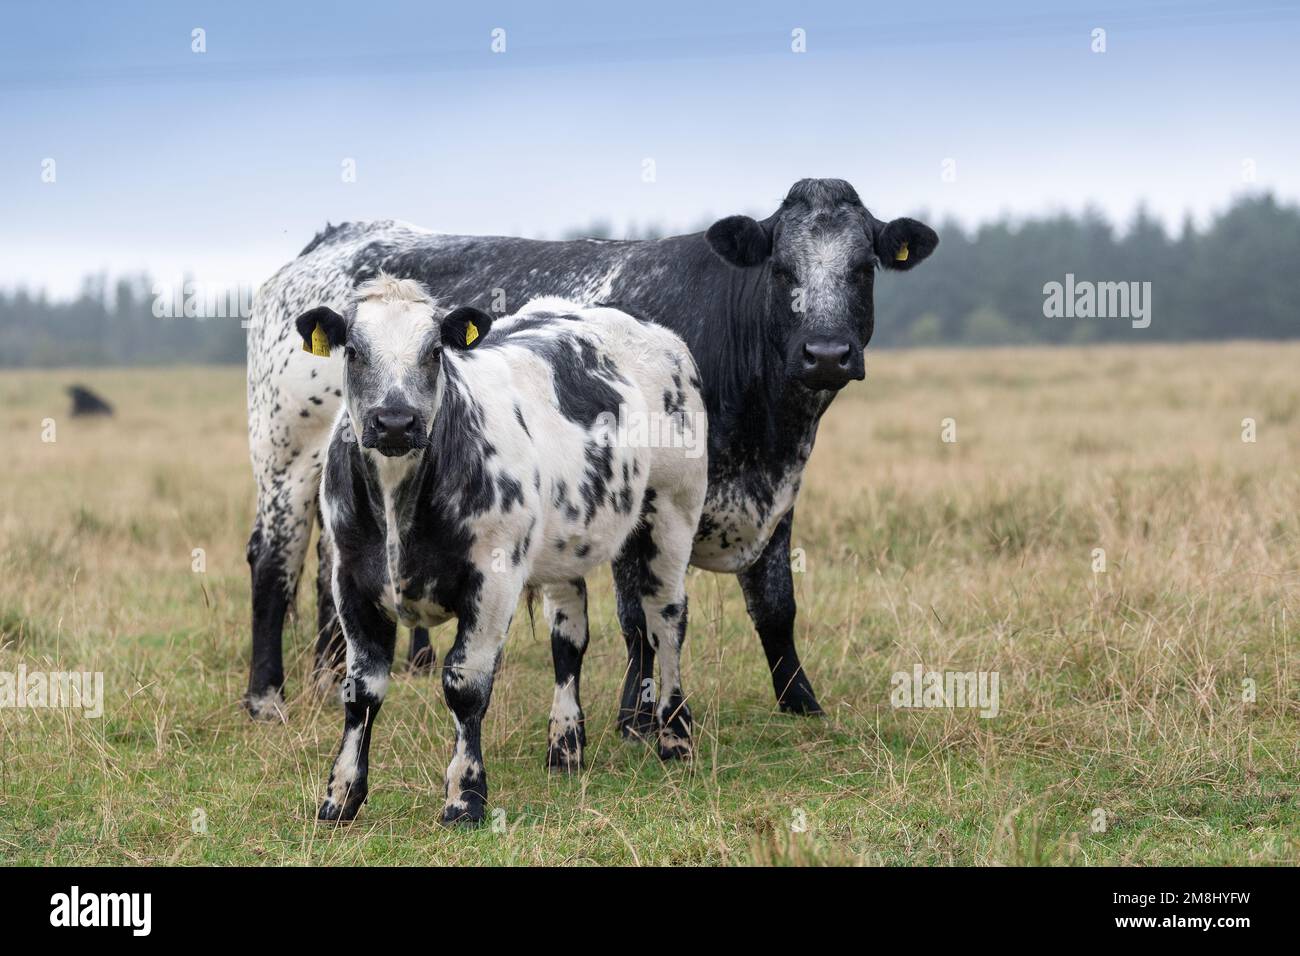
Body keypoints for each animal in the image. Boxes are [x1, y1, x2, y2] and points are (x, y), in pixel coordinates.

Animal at [244, 177, 937, 734]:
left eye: (864, 269)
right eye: (782, 269)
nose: (826, 353)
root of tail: (338, 237)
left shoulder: (775, 495)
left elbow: (775, 605)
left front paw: (800, 702)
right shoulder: (640, 503)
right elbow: (640, 615)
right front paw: (638, 714)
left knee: (329, 566)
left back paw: (326, 677)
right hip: (286, 454)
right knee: (273, 559)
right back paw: (266, 698)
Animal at [303, 276, 707, 824]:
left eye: (435, 352)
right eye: (354, 351)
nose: (395, 421)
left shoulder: (493, 578)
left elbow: (465, 684)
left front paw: (465, 796)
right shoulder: (351, 580)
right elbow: (362, 690)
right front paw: (341, 794)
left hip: (672, 514)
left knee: (666, 621)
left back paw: (675, 735)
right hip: (564, 545)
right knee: (569, 637)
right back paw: (565, 746)